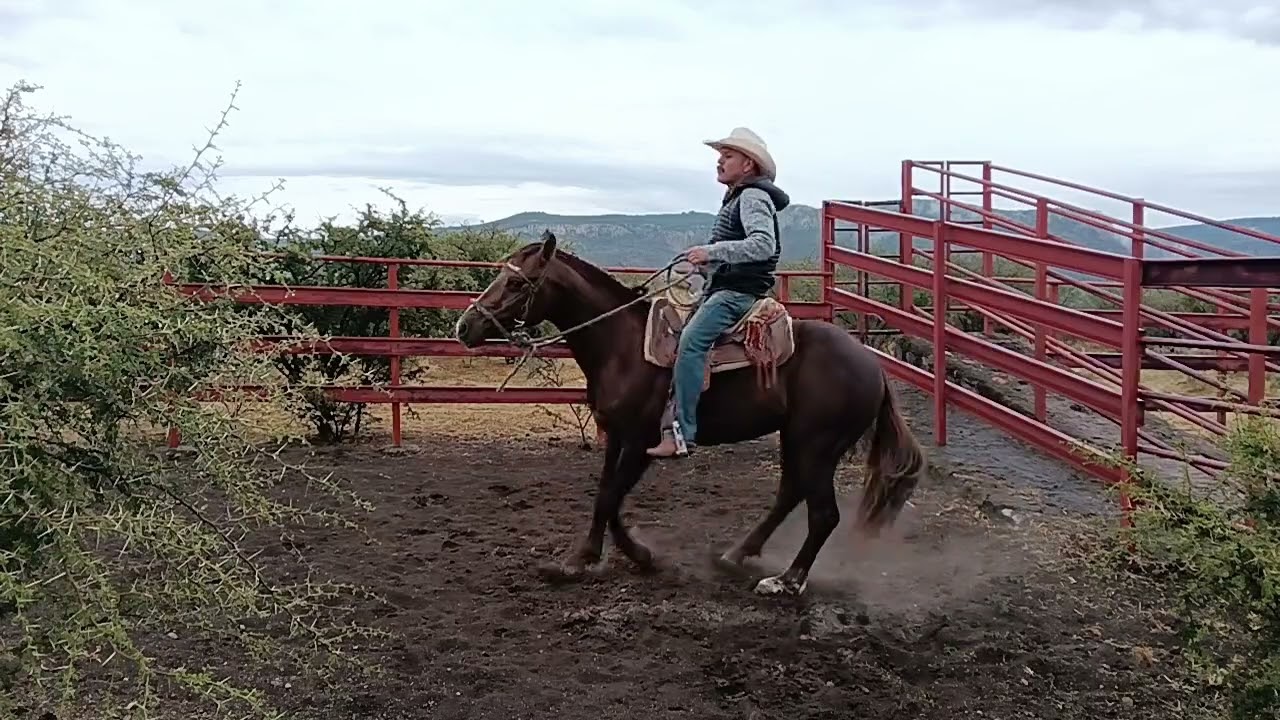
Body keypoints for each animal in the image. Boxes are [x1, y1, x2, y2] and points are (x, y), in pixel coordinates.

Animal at [453, 231, 927, 596]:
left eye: (521, 284)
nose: (464, 326)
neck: (623, 346)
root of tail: (873, 367)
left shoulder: (641, 442)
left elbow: (610, 497)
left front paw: (588, 559)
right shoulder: (617, 436)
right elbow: (607, 496)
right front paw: (618, 554)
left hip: (817, 445)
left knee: (823, 514)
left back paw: (787, 581)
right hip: (796, 439)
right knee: (789, 495)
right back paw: (736, 555)